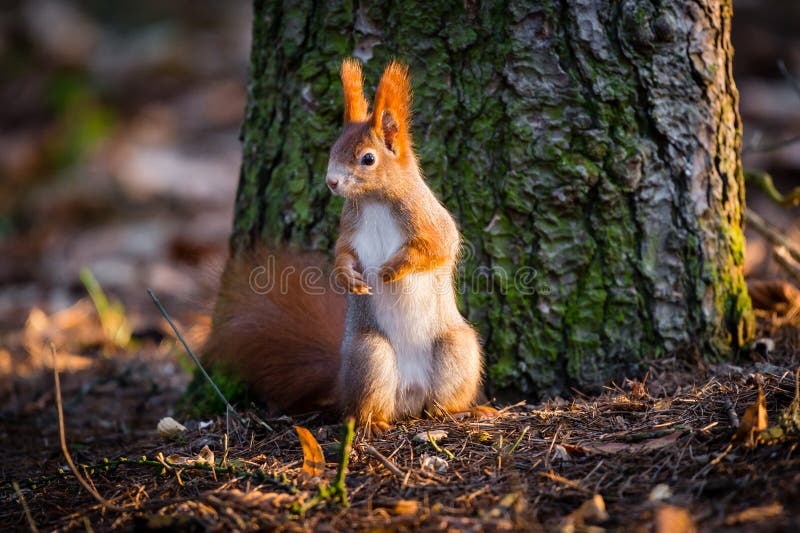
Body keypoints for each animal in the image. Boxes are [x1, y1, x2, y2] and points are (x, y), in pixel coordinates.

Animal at [203, 59, 487, 434]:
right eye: (332, 150)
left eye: (367, 159)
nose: (331, 182)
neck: (373, 200)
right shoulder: (348, 231)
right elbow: (342, 253)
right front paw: (348, 277)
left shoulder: (430, 220)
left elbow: (439, 247)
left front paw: (391, 269)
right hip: (370, 354)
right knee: (365, 406)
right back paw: (375, 422)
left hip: (456, 349)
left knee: (440, 402)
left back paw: (462, 411)